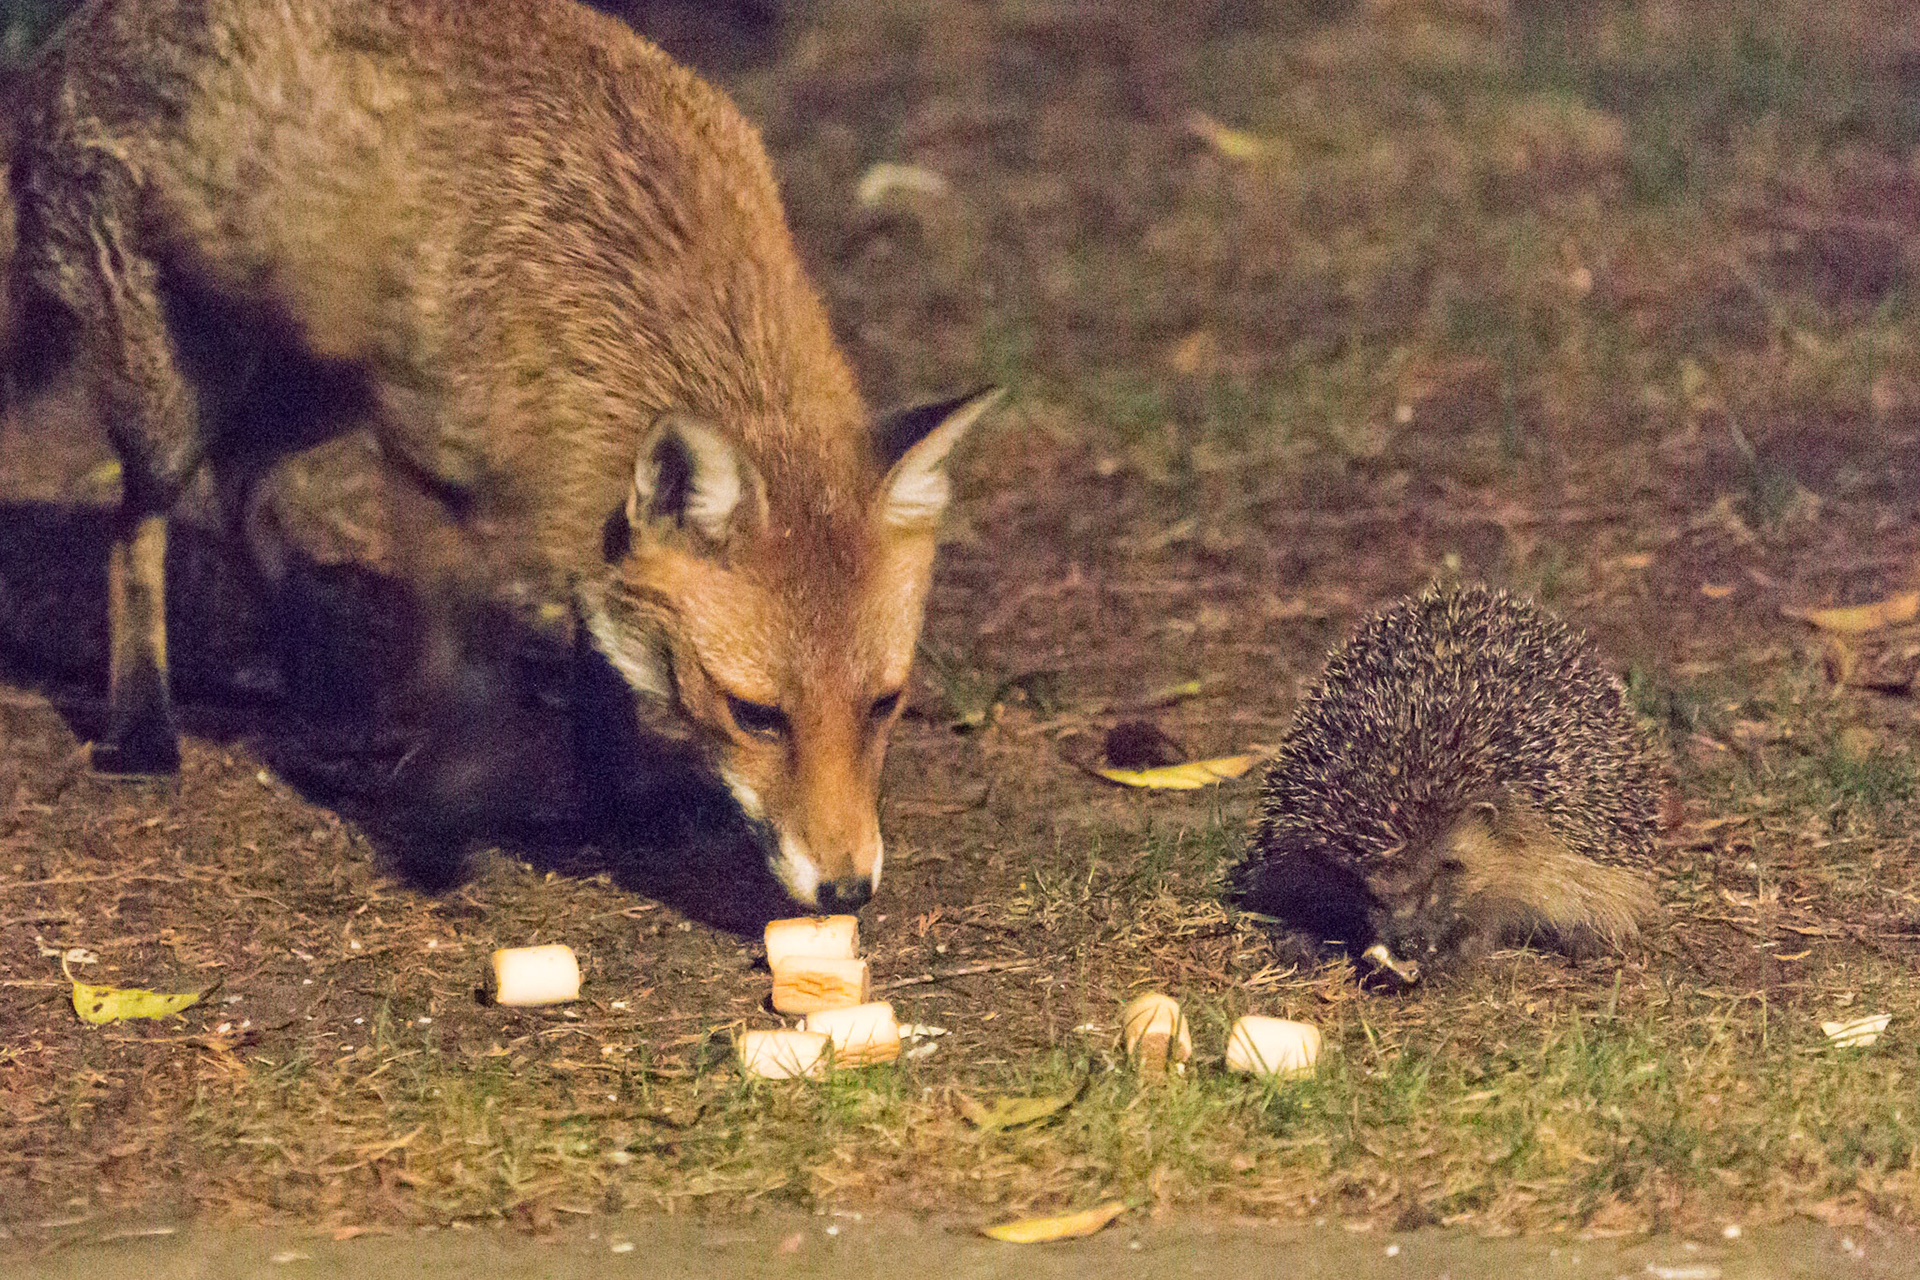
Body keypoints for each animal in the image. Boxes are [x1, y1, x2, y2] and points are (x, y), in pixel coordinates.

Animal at [1, 0, 998, 912]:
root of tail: (61, 48)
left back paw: (319, 671)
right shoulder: (427, 471)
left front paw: (615, 796)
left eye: (885, 704)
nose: (847, 892)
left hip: (325, 386)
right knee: (141, 521)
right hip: (172, 402)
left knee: (240, 475)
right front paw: (443, 824)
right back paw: (144, 724)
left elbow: (601, 675)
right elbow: (467, 688)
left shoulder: (590, 513)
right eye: (756, 715)